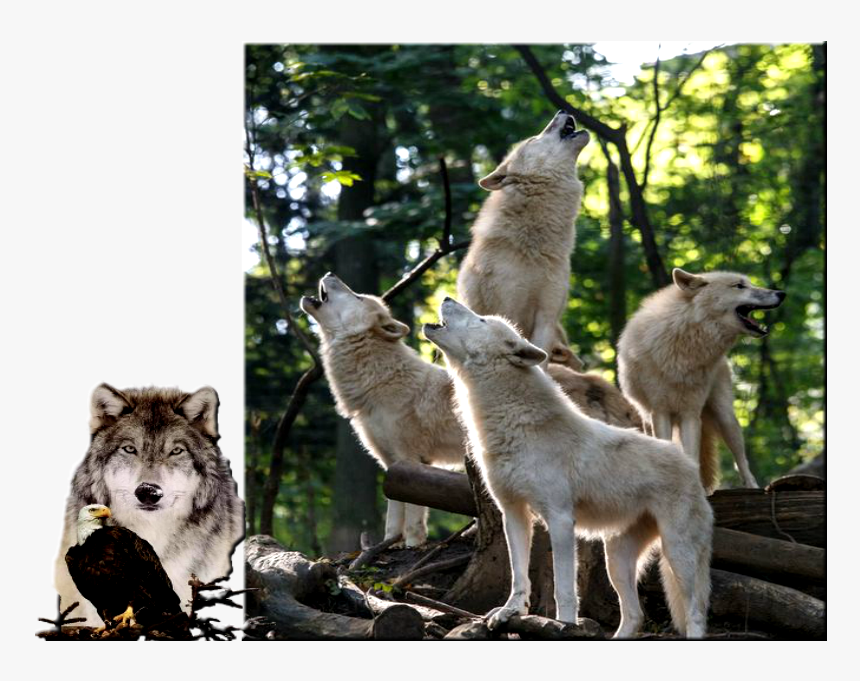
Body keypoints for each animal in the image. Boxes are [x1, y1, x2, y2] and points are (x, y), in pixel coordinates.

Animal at [425, 298, 712, 639]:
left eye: (481, 320)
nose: (446, 299)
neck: (513, 424)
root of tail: (690, 467)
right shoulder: (513, 513)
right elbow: (518, 576)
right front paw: (509, 612)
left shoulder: (560, 519)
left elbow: (563, 588)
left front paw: (562, 626)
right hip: (616, 559)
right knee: (634, 615)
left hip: (677, 553)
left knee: (695, 612)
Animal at [617, 268, 786, 491]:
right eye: (739, 286)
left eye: (749, 283)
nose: (781, 293)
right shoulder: (660, 411)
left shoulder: (690, 413)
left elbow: (692, 455)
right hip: (647, 420)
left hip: (725, 417)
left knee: (741, 458)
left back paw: (752, 486)